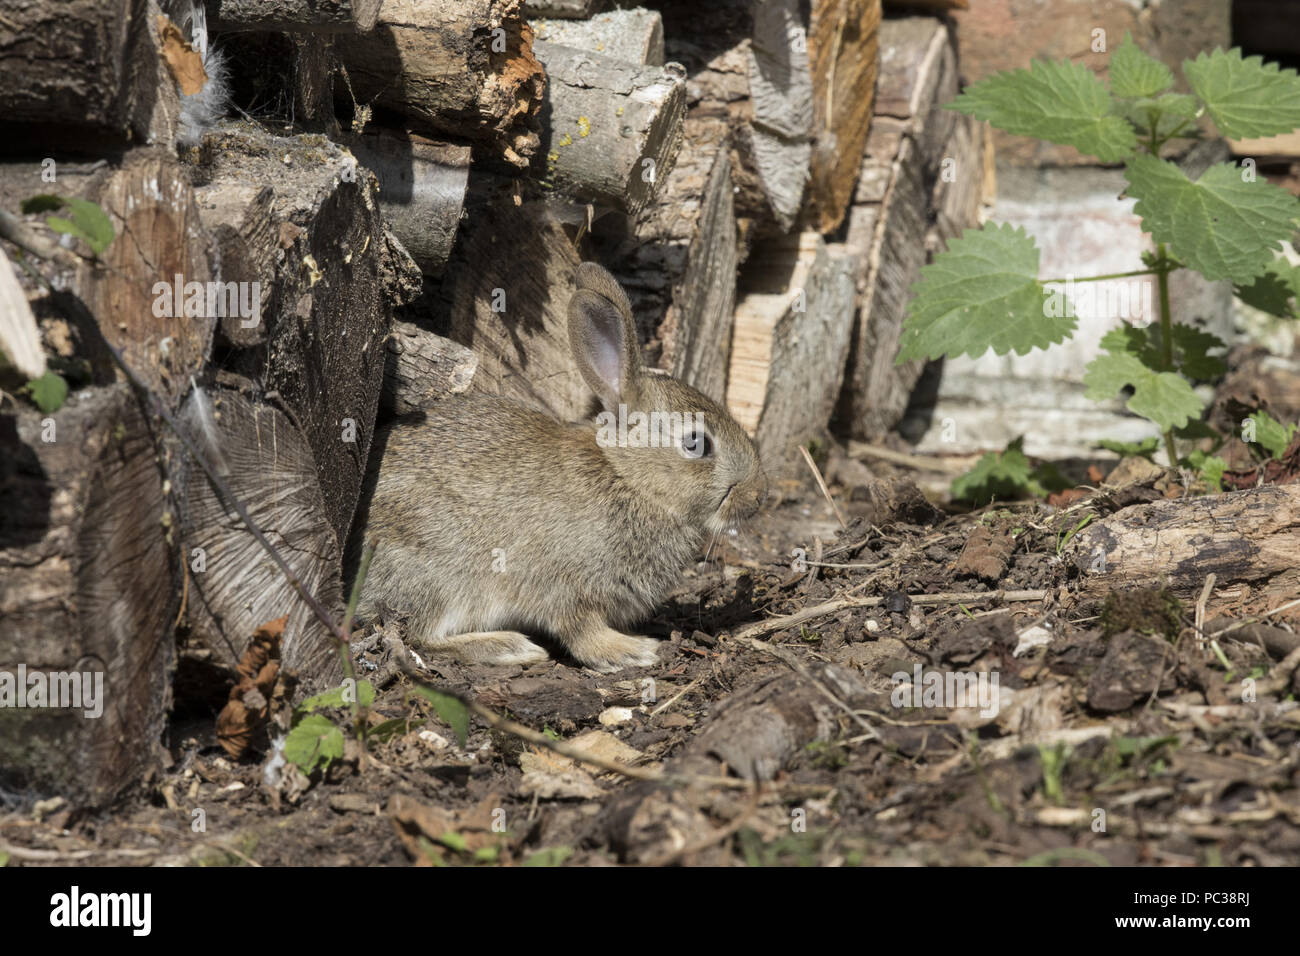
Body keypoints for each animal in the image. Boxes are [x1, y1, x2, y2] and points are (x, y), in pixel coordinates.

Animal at [352, 262, 766, 672]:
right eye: (697, 443)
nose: (757, 497)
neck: (629, 478)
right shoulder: (570, 588)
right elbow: (580, 631)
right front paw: (631, 650)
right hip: (440, 576)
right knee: (418, 635)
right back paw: (511, 647)